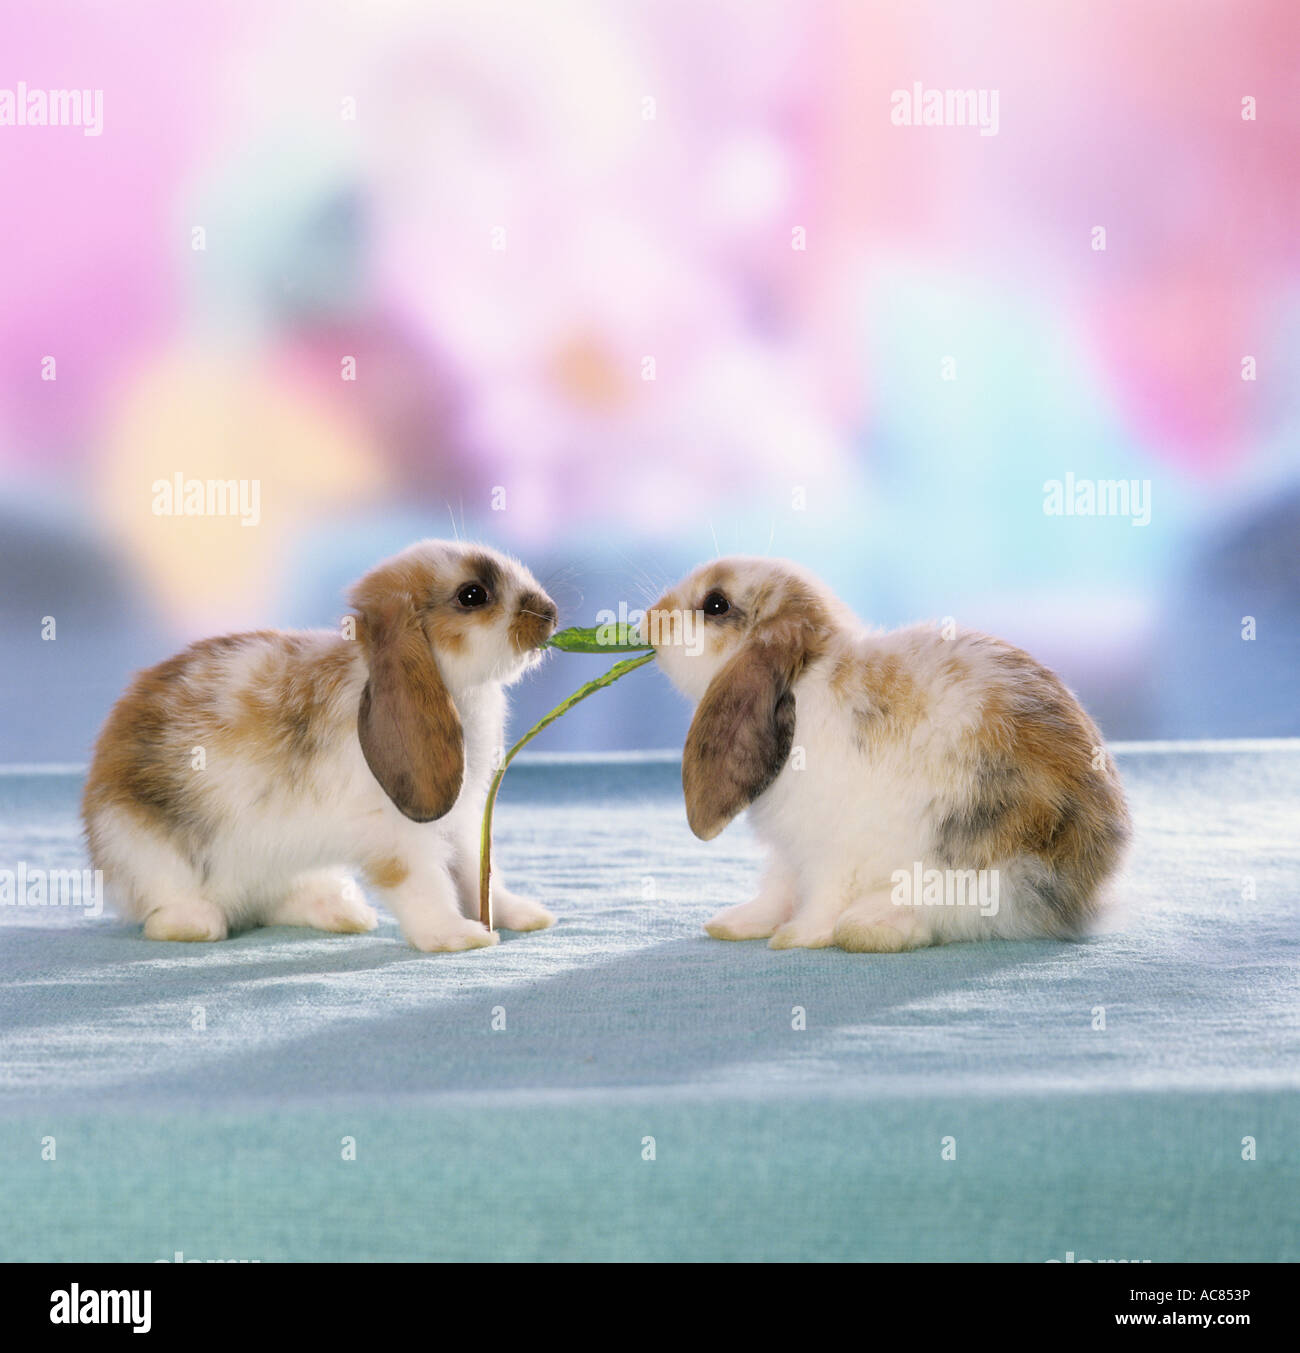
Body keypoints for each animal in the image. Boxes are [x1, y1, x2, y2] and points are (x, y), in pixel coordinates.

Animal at [82, 540, 559, 952]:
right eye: (472, 595)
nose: (550, 613)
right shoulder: (398, 836)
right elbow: (424, 885)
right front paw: (458, 937)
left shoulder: (458, 823)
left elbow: (476, 875)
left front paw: (526, 916)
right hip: (145, 848)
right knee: (164, 909)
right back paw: (197, 923)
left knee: (273, 904)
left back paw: (344, 913)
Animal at [644, 557, 1130, 952]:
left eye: (716, 604)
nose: (649, 622)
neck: (808, 677)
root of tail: (1089, 884)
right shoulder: (790, 850)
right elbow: (779, 888)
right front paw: (737, 924)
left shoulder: (834, 850)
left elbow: (823, 896)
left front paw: (797, 937)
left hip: (981, 863)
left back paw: (868, 927)